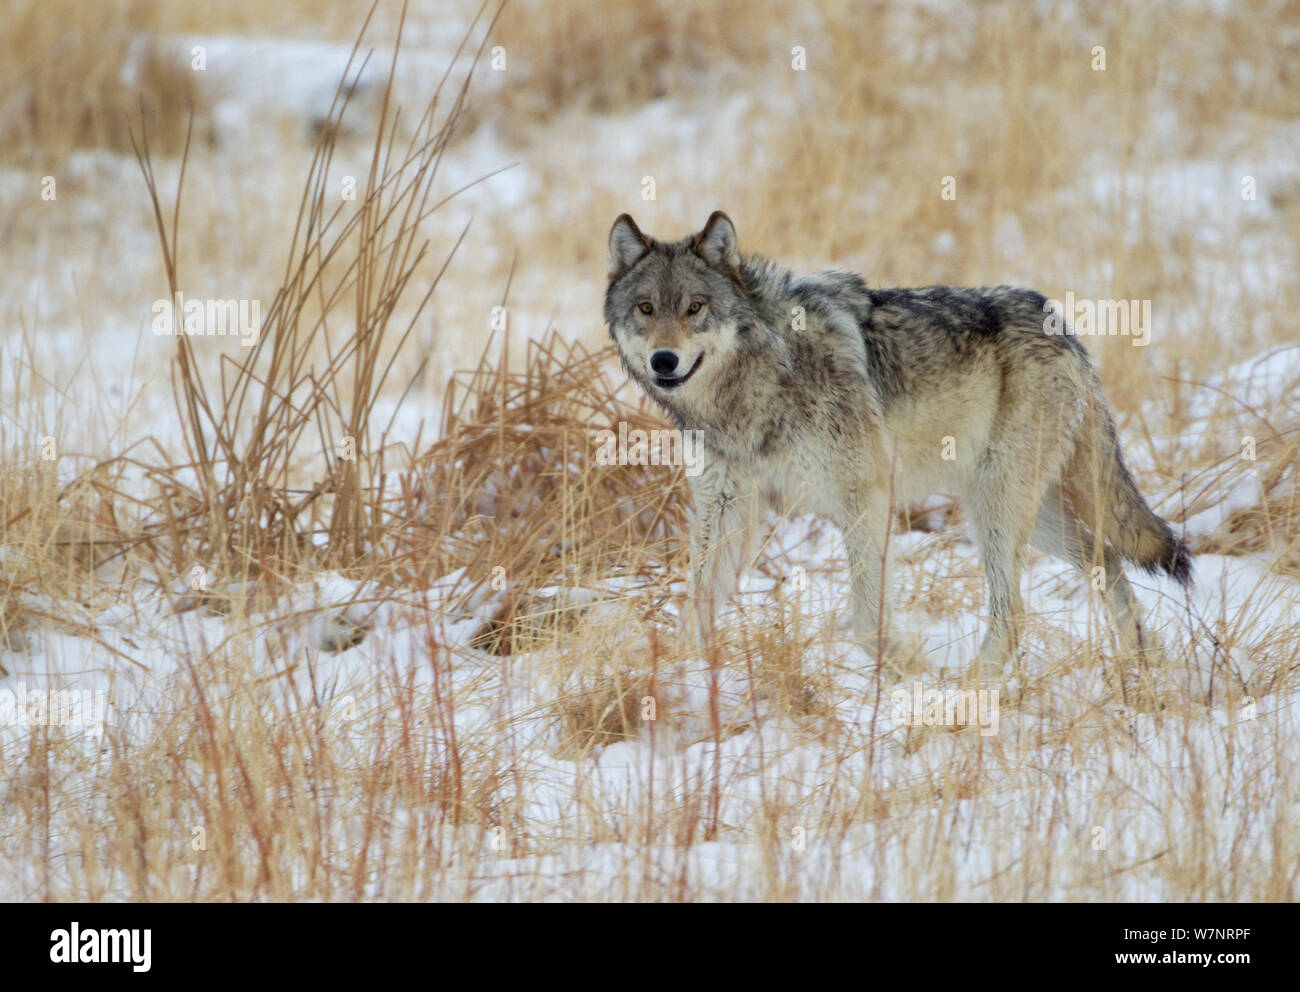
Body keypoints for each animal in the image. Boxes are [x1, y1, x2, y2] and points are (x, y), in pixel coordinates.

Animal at [604, 211, 1191, 677]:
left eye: (696, 307)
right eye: (646, 308)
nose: (663, 361)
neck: (755, 387)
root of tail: (1062, 327)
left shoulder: (865, 497)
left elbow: (867, 618)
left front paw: (911, 668)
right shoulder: (725, 506)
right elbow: (695, 607)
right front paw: (673, 680)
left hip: (996, 510)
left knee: (1014, 611)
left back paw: (968, 693)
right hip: (1032, 516)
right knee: (1107, 560)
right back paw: (1137, 665)